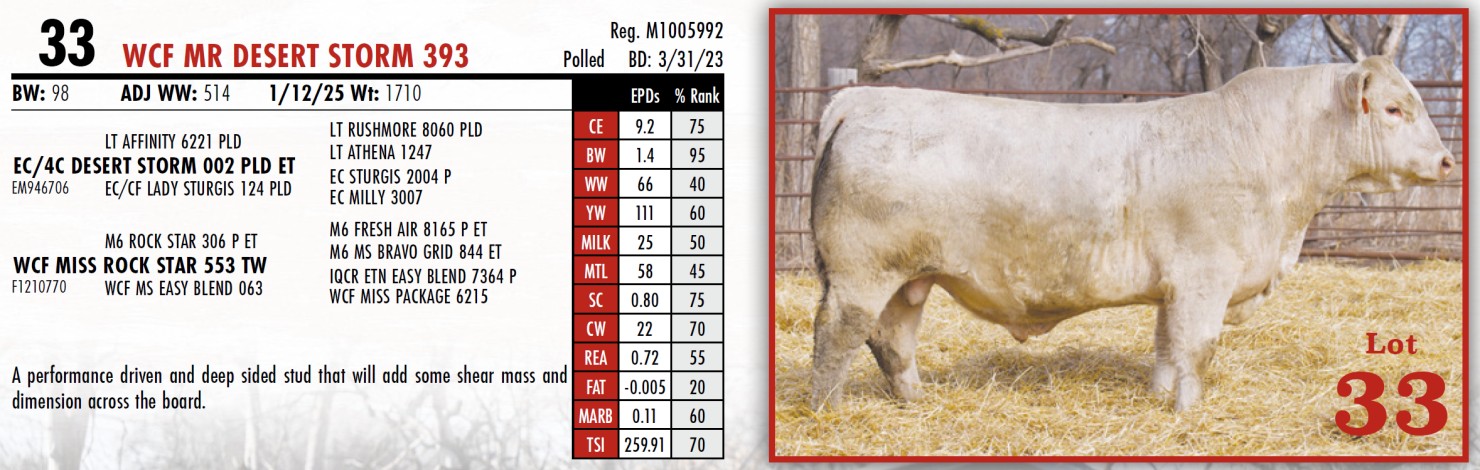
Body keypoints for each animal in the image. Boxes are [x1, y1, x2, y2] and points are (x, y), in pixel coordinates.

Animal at [807, 56, 1454, 412]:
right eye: (1394, 109)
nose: (1448, 161)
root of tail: (862, 98)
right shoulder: (1205, 276)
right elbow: (1198, 347)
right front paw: (1189, 413)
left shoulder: (1175, 285)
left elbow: (1167, 345)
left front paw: (1161, 398)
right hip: (862, 272)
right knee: (838, 332)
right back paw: (830, 410)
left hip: (908, 278)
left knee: (892, 339)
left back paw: (915, 399)